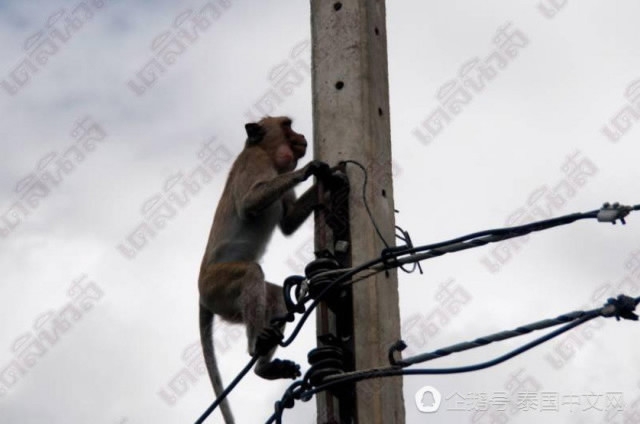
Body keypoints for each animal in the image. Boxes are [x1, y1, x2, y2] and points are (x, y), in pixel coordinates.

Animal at [198, 116, 330, 424]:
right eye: (287, 125)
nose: (301, 136)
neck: (265, 152)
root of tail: (200, 295)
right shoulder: (255, 162)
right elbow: (249, 203)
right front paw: (309, 169)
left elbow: (289, 221)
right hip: (216, 289)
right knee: (251, 274)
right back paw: (255, 345)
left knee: (277, 296)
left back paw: (263, 367)